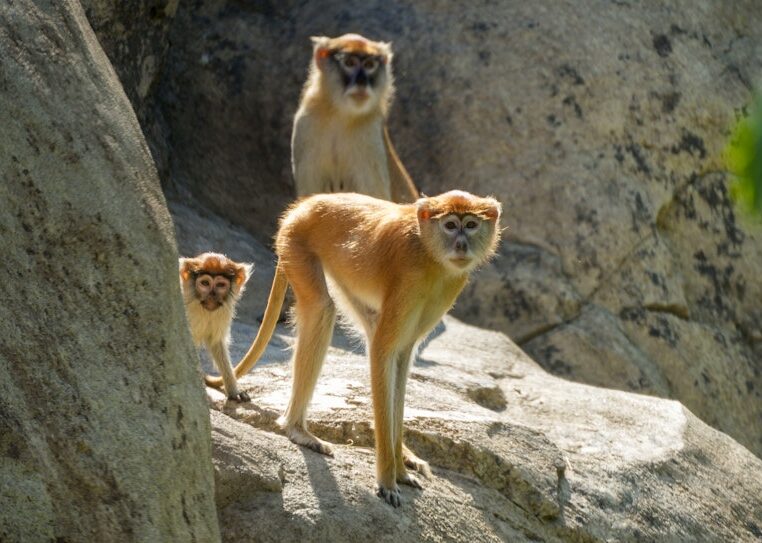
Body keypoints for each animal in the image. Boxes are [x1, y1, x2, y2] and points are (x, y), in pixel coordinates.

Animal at [206, 190, 502, 506]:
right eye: (450, 225)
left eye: (471, 225)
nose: (461, 245)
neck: (427, 248)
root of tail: (303, 207)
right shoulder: (408, 277)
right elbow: (384, 351)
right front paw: (388, 479)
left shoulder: (449, 284)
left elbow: (402, 356)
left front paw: (400, 467)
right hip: (295, 243)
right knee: (322, 309)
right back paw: (297, 429)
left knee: (366, 324)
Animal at [291, 33, 419, 203]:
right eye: (350, 63)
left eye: (369, 64)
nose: (361, 82)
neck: (340, 115)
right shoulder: (305, 123)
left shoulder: (370, 136)